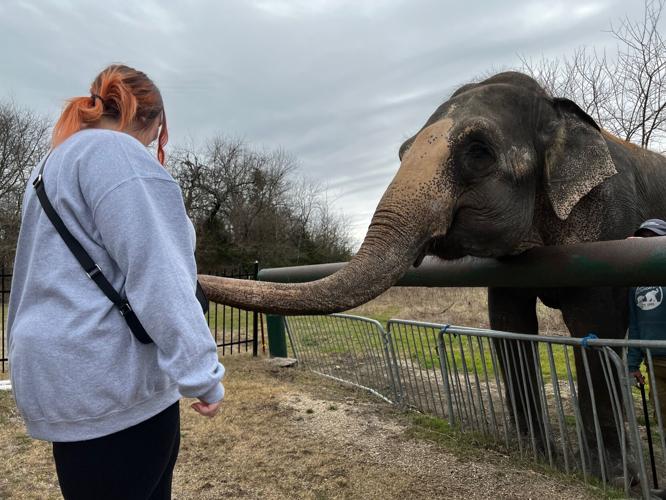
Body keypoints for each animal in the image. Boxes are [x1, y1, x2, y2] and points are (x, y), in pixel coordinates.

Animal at [199, 71, 666, 478]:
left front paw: (614, 478)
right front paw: (536, 453)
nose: (197, 282)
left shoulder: (609, 225)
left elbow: (595, 330)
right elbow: (508, 324)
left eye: (478, 151)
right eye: (403, 152)